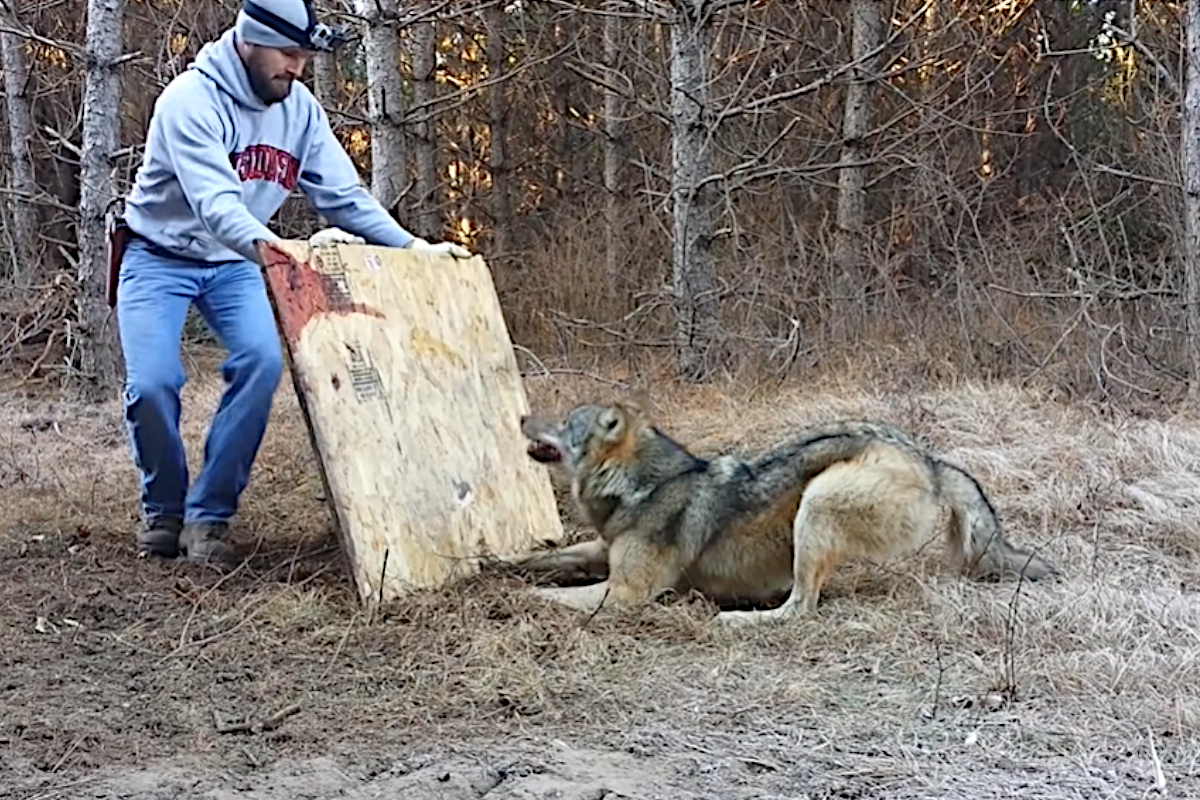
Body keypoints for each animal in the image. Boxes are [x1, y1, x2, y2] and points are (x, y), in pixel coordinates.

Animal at [500, 400, 1058, 626]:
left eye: (565, 422)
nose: (521, 417)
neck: (641, 485)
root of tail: (930, 459)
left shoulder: (625, 592)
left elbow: (548, 596)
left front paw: (511, 600)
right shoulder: (601, 549)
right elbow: (546, 561)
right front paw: (497, 565)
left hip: (817, 503)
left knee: (801, 607)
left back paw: (738, 620)